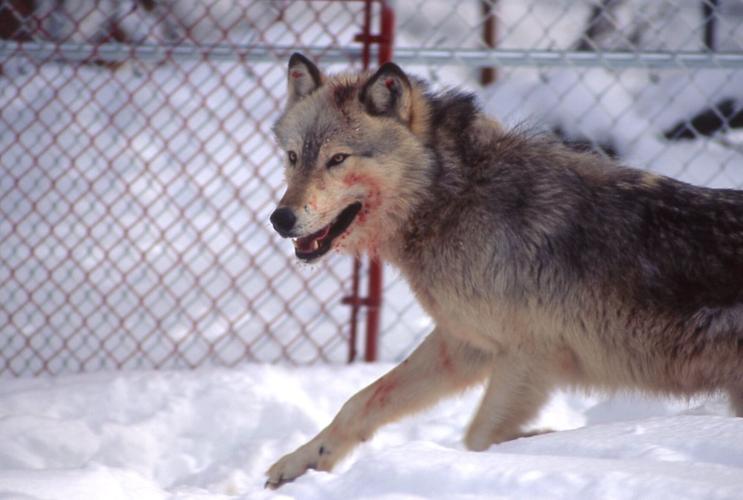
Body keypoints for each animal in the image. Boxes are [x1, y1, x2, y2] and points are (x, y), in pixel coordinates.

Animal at [265, 53, 743, 488]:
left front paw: (546, 444)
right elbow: (360, 402)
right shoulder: (464, 344)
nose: (280, 218)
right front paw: (301, 463)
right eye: (293, 157)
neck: (453, 195)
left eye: (337, 159)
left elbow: (479, 438)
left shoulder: (530, 355)